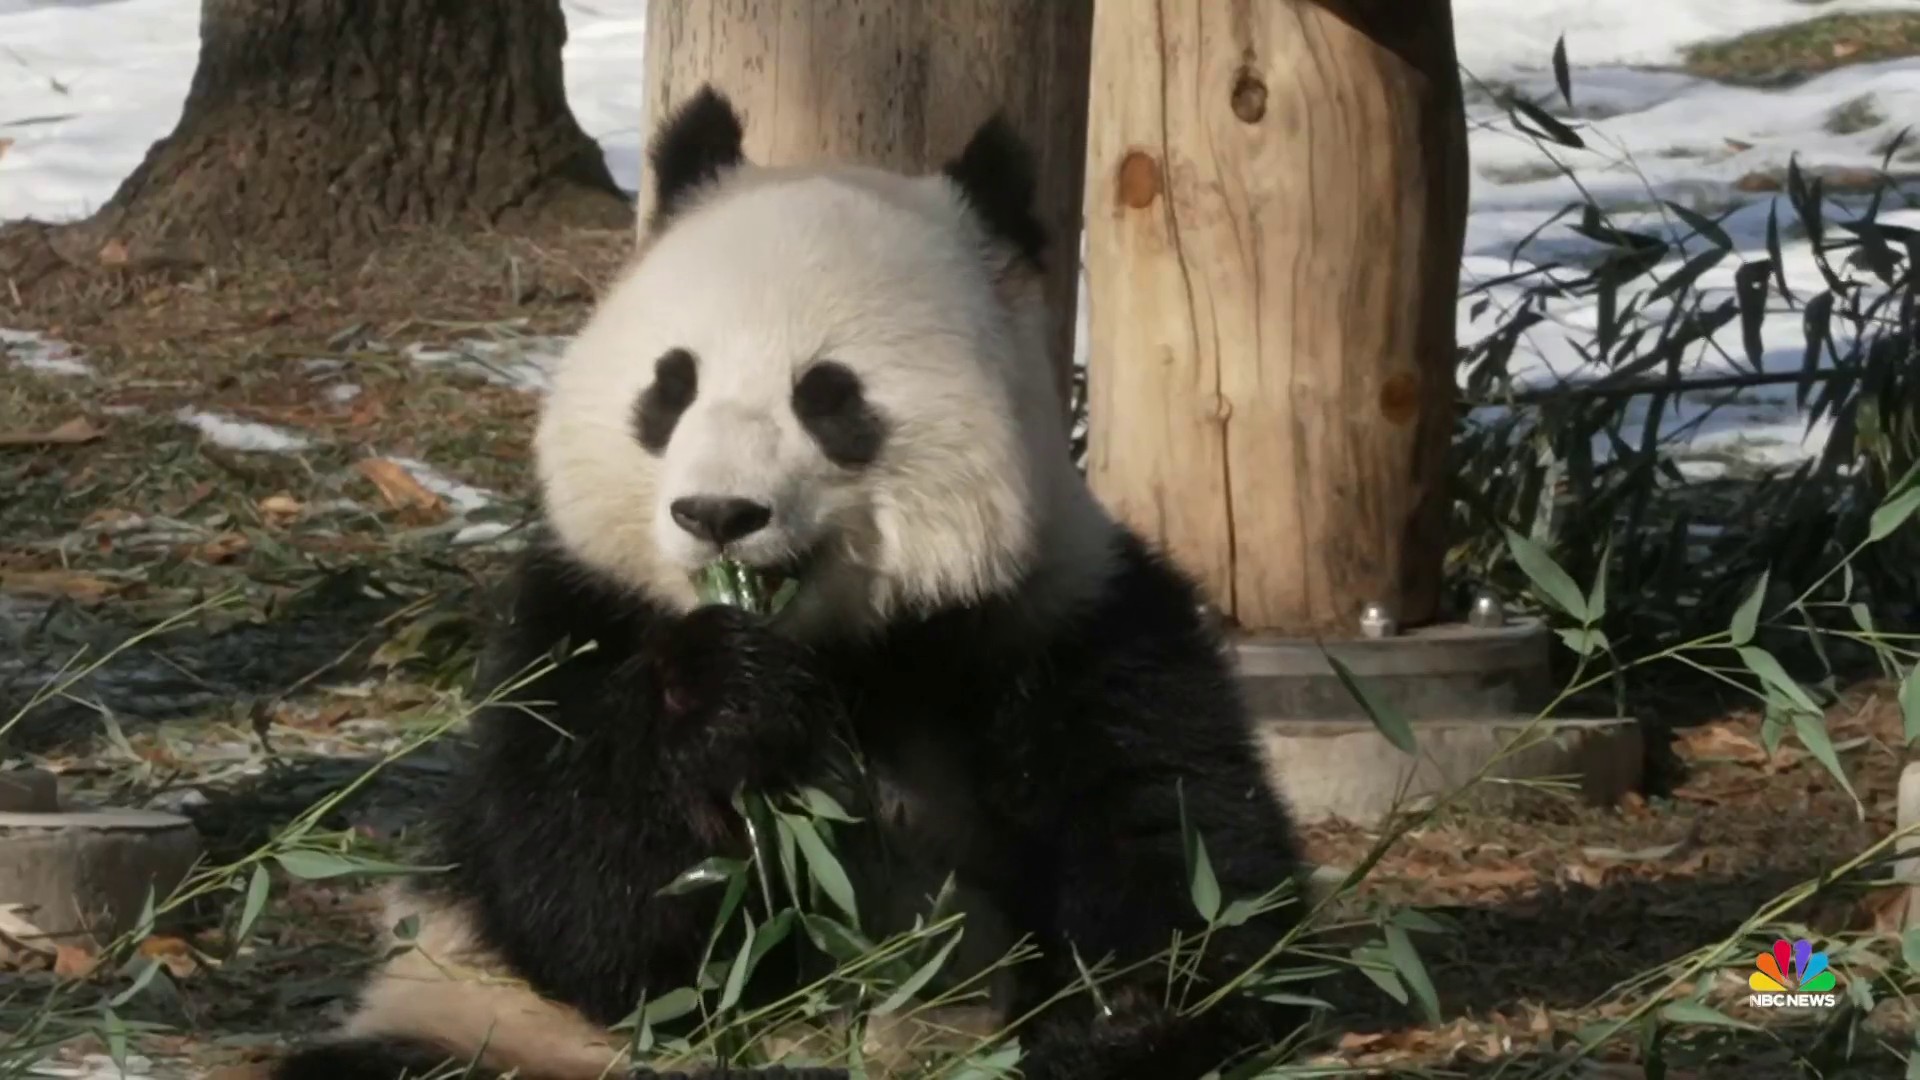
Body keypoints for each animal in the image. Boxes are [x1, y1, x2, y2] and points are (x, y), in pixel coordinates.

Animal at [272, 86, 1311, 1080]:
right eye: (671, 386)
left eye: (829, 396)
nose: (718, 513)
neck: (844, 651)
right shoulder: (577, 624)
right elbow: (583, 901)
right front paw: (723, 701)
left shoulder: (1060, 621)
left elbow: (1188, 856)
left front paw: (1125, 1018)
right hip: (486, 1017)